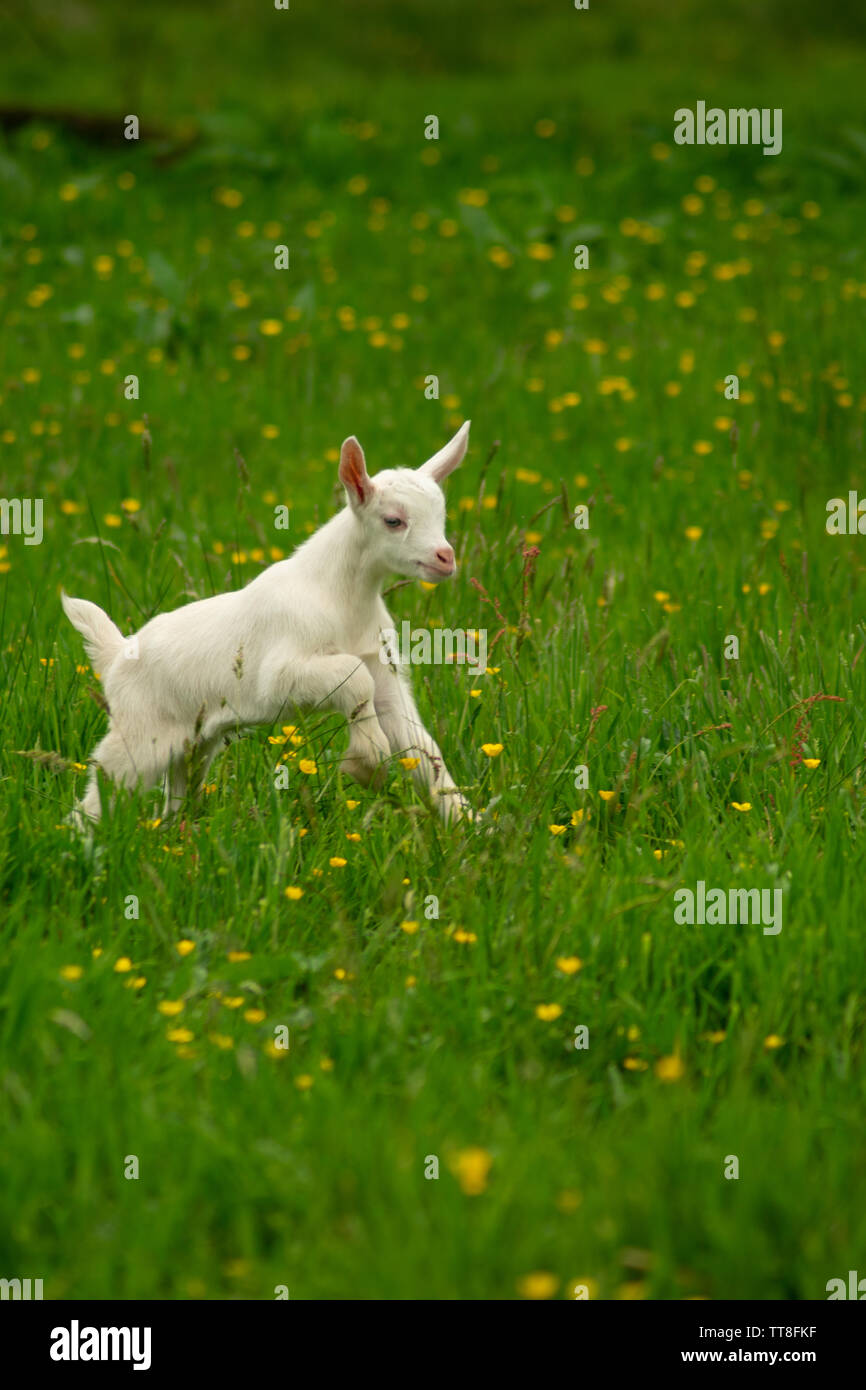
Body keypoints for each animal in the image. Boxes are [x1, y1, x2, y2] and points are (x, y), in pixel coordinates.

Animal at [62, 421, 473, 827]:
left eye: (441, 518)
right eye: (393, 521)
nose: (445, 558)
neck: (341, 599)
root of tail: (117, 653)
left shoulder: (385, 676)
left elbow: (424, 750)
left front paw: (467, 822)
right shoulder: (277, 677)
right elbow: (353, 675)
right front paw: (367, 765)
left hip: (194, 742)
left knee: (176, 798)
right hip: (138, 734)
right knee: (99, 794)